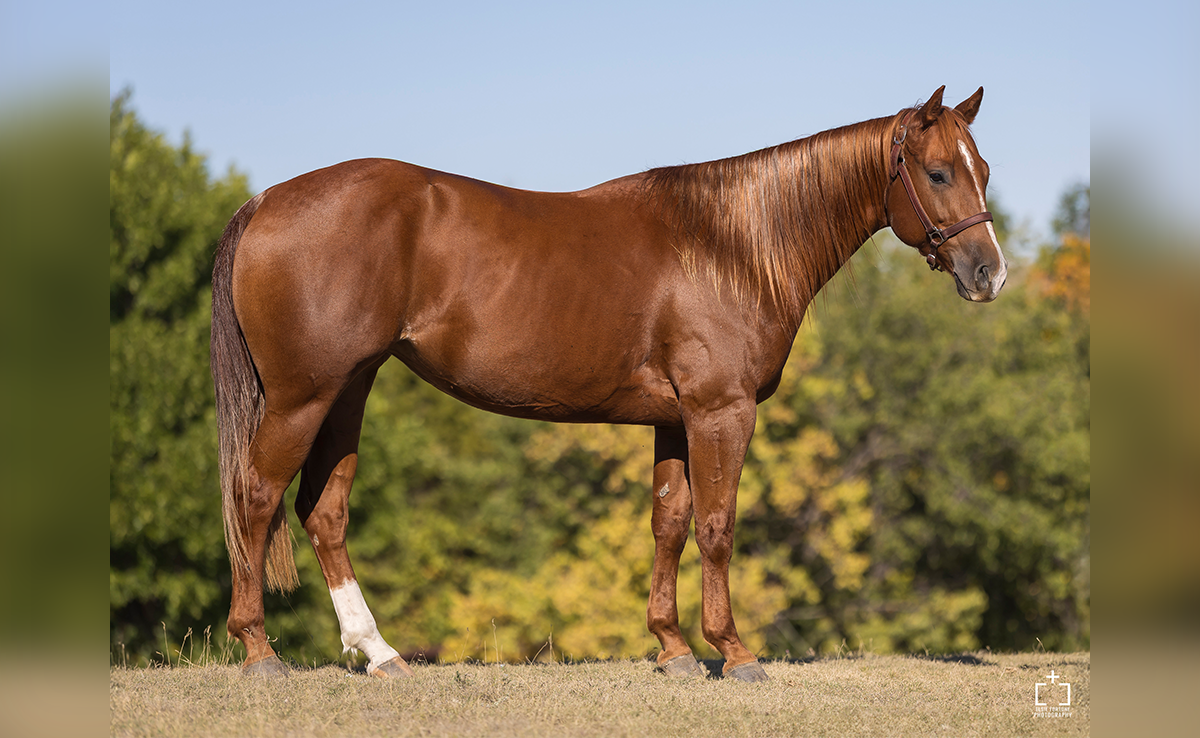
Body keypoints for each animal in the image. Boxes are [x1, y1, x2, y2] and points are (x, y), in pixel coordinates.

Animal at [210, 85, 1006, 682]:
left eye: (984, 170)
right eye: (939, 172)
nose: (989, 274)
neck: (730, 245)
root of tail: (267, 200)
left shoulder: (676, 420)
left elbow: (670, 523)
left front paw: (674, 648)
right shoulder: (722, 413)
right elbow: (717, 527)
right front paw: (735, 652)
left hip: (348, 391)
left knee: (323, 511)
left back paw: (379, 653)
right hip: (302, 398)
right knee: (256, 496)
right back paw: (259, 651)